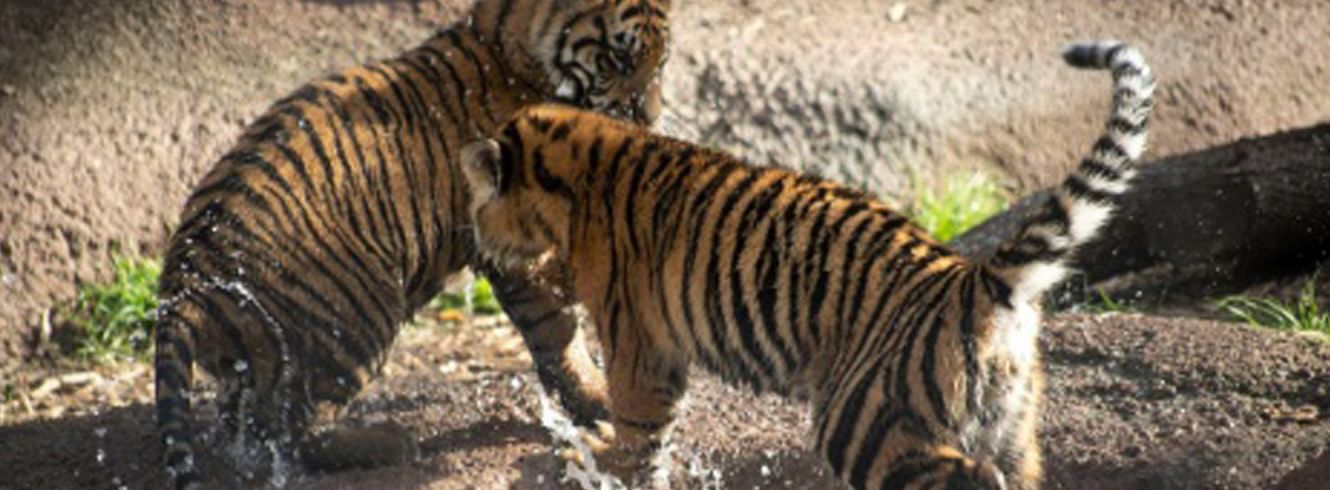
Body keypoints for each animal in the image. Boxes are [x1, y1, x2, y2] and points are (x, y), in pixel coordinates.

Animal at [152, 0, 670, 488]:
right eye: (618, 58)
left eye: (660, 61)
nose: (649, 117)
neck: (510, 49)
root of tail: (186, 284)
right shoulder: (518, 245)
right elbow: (557, 327)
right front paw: (598, 397)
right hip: (357, 315)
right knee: (295, 427)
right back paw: (389, 440)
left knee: (256, 421)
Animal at [458, 40, 1155, 489]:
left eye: (476, 201)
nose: (475, 244)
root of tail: (974, 279)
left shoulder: (639, 344)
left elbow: (638, 431)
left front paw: (604, 461)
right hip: (1010, 426)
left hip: (863, 415)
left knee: (963, 477)